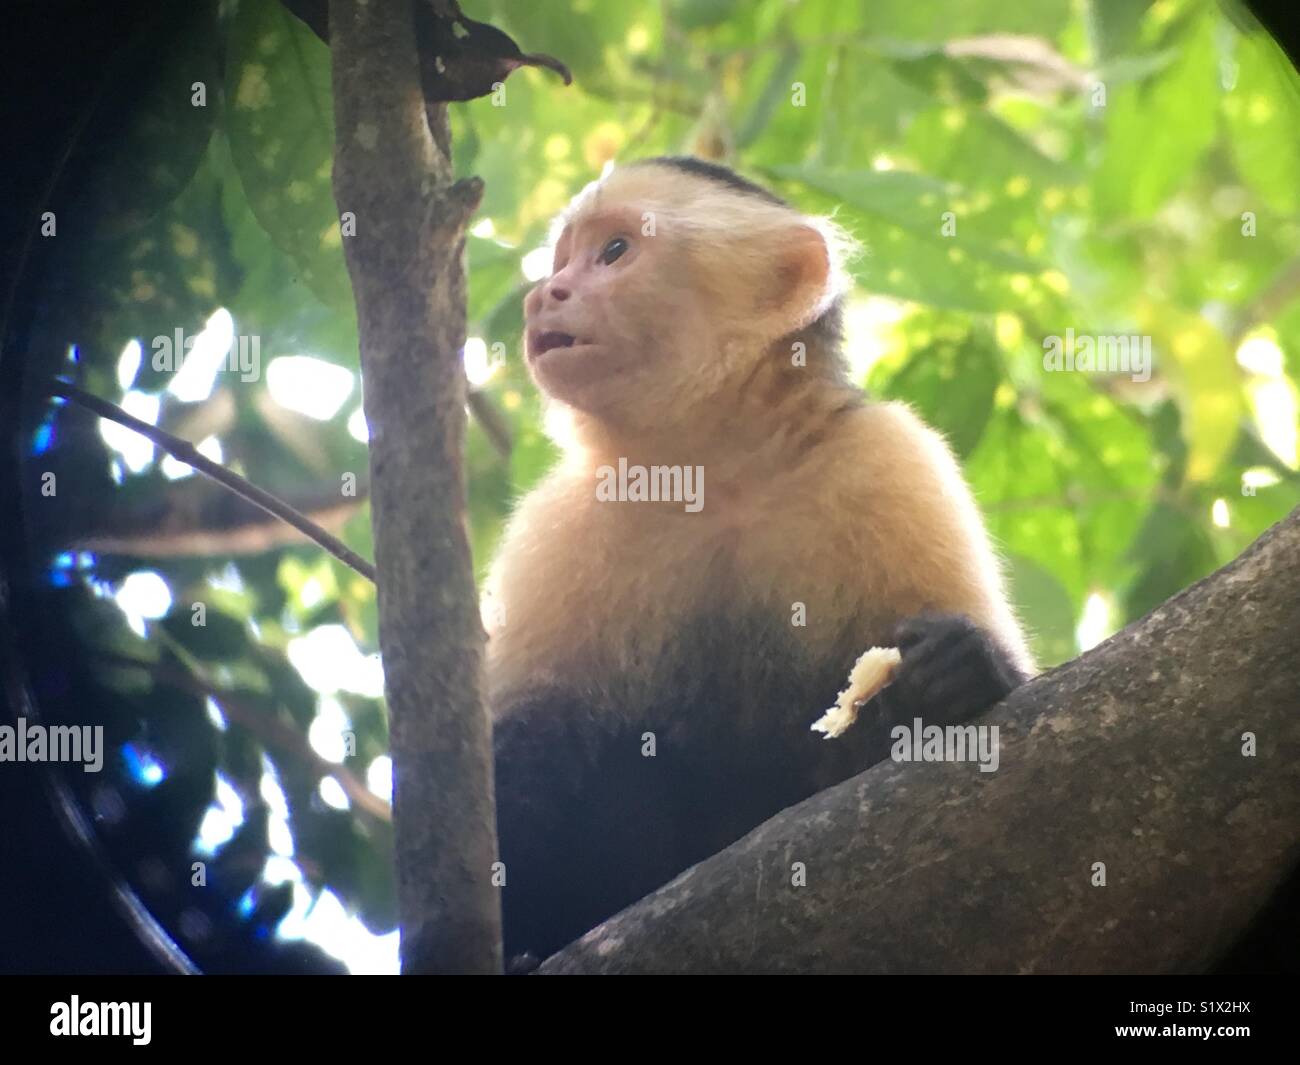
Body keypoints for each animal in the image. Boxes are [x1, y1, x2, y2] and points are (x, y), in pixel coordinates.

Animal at [484, 156, 1035, 967]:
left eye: (613, 252)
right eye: (563, 263)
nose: (542, 295)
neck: (715, 471)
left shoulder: (887, 455)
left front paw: (956, 672)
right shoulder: (558, 522)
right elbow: (522, 753)